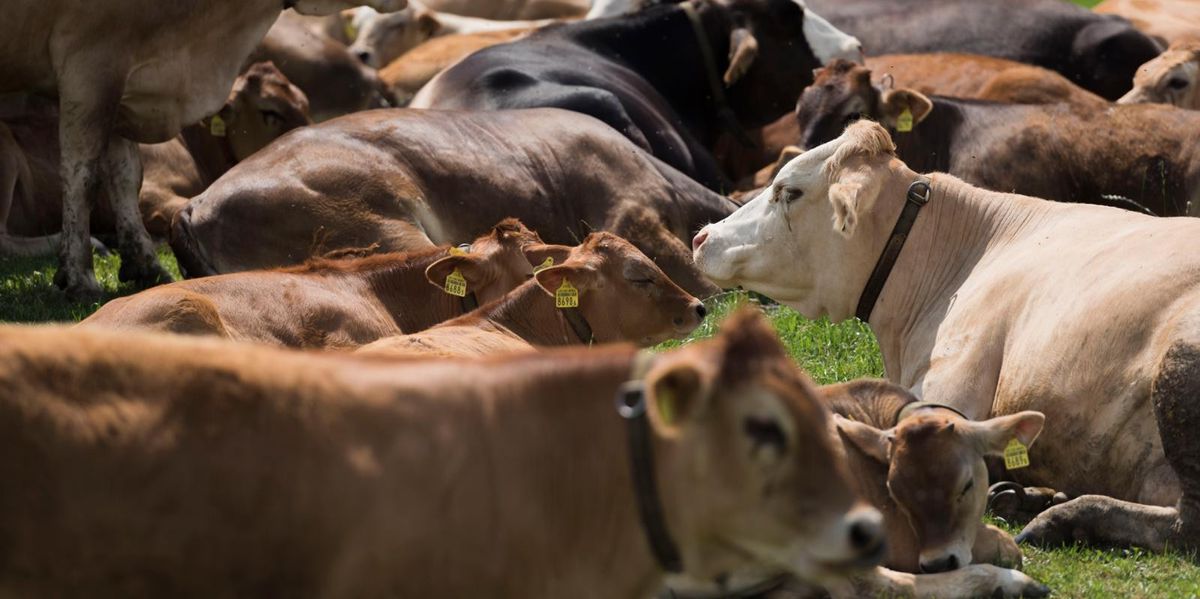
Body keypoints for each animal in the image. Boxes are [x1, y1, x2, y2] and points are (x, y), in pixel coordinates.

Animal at [692, 119, 1200, 554]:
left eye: (790, 191)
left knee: (1185, 524)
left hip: (1179, 364)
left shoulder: (951, 385)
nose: (701, 238)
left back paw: (1067, 516)